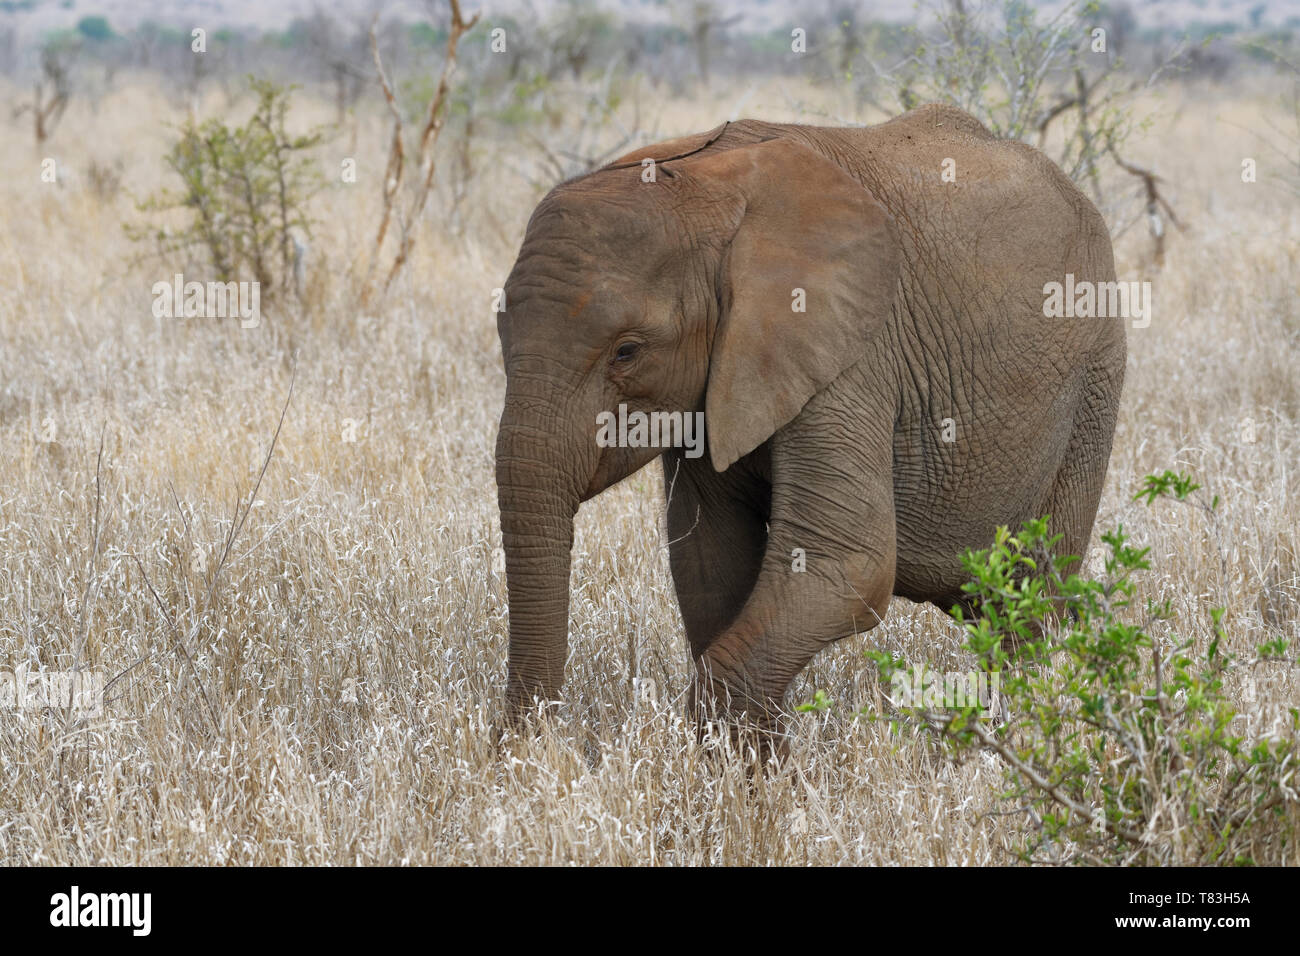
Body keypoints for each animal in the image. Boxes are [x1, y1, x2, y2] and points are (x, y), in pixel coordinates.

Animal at [494, 103, 1126, 744]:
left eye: (627, 352)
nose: (521, 747)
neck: (704, 182)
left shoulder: (851, 352)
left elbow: (848, 561)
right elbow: (710, 564)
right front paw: (757, 762)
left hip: (1094, 379)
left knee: (1029, 600)